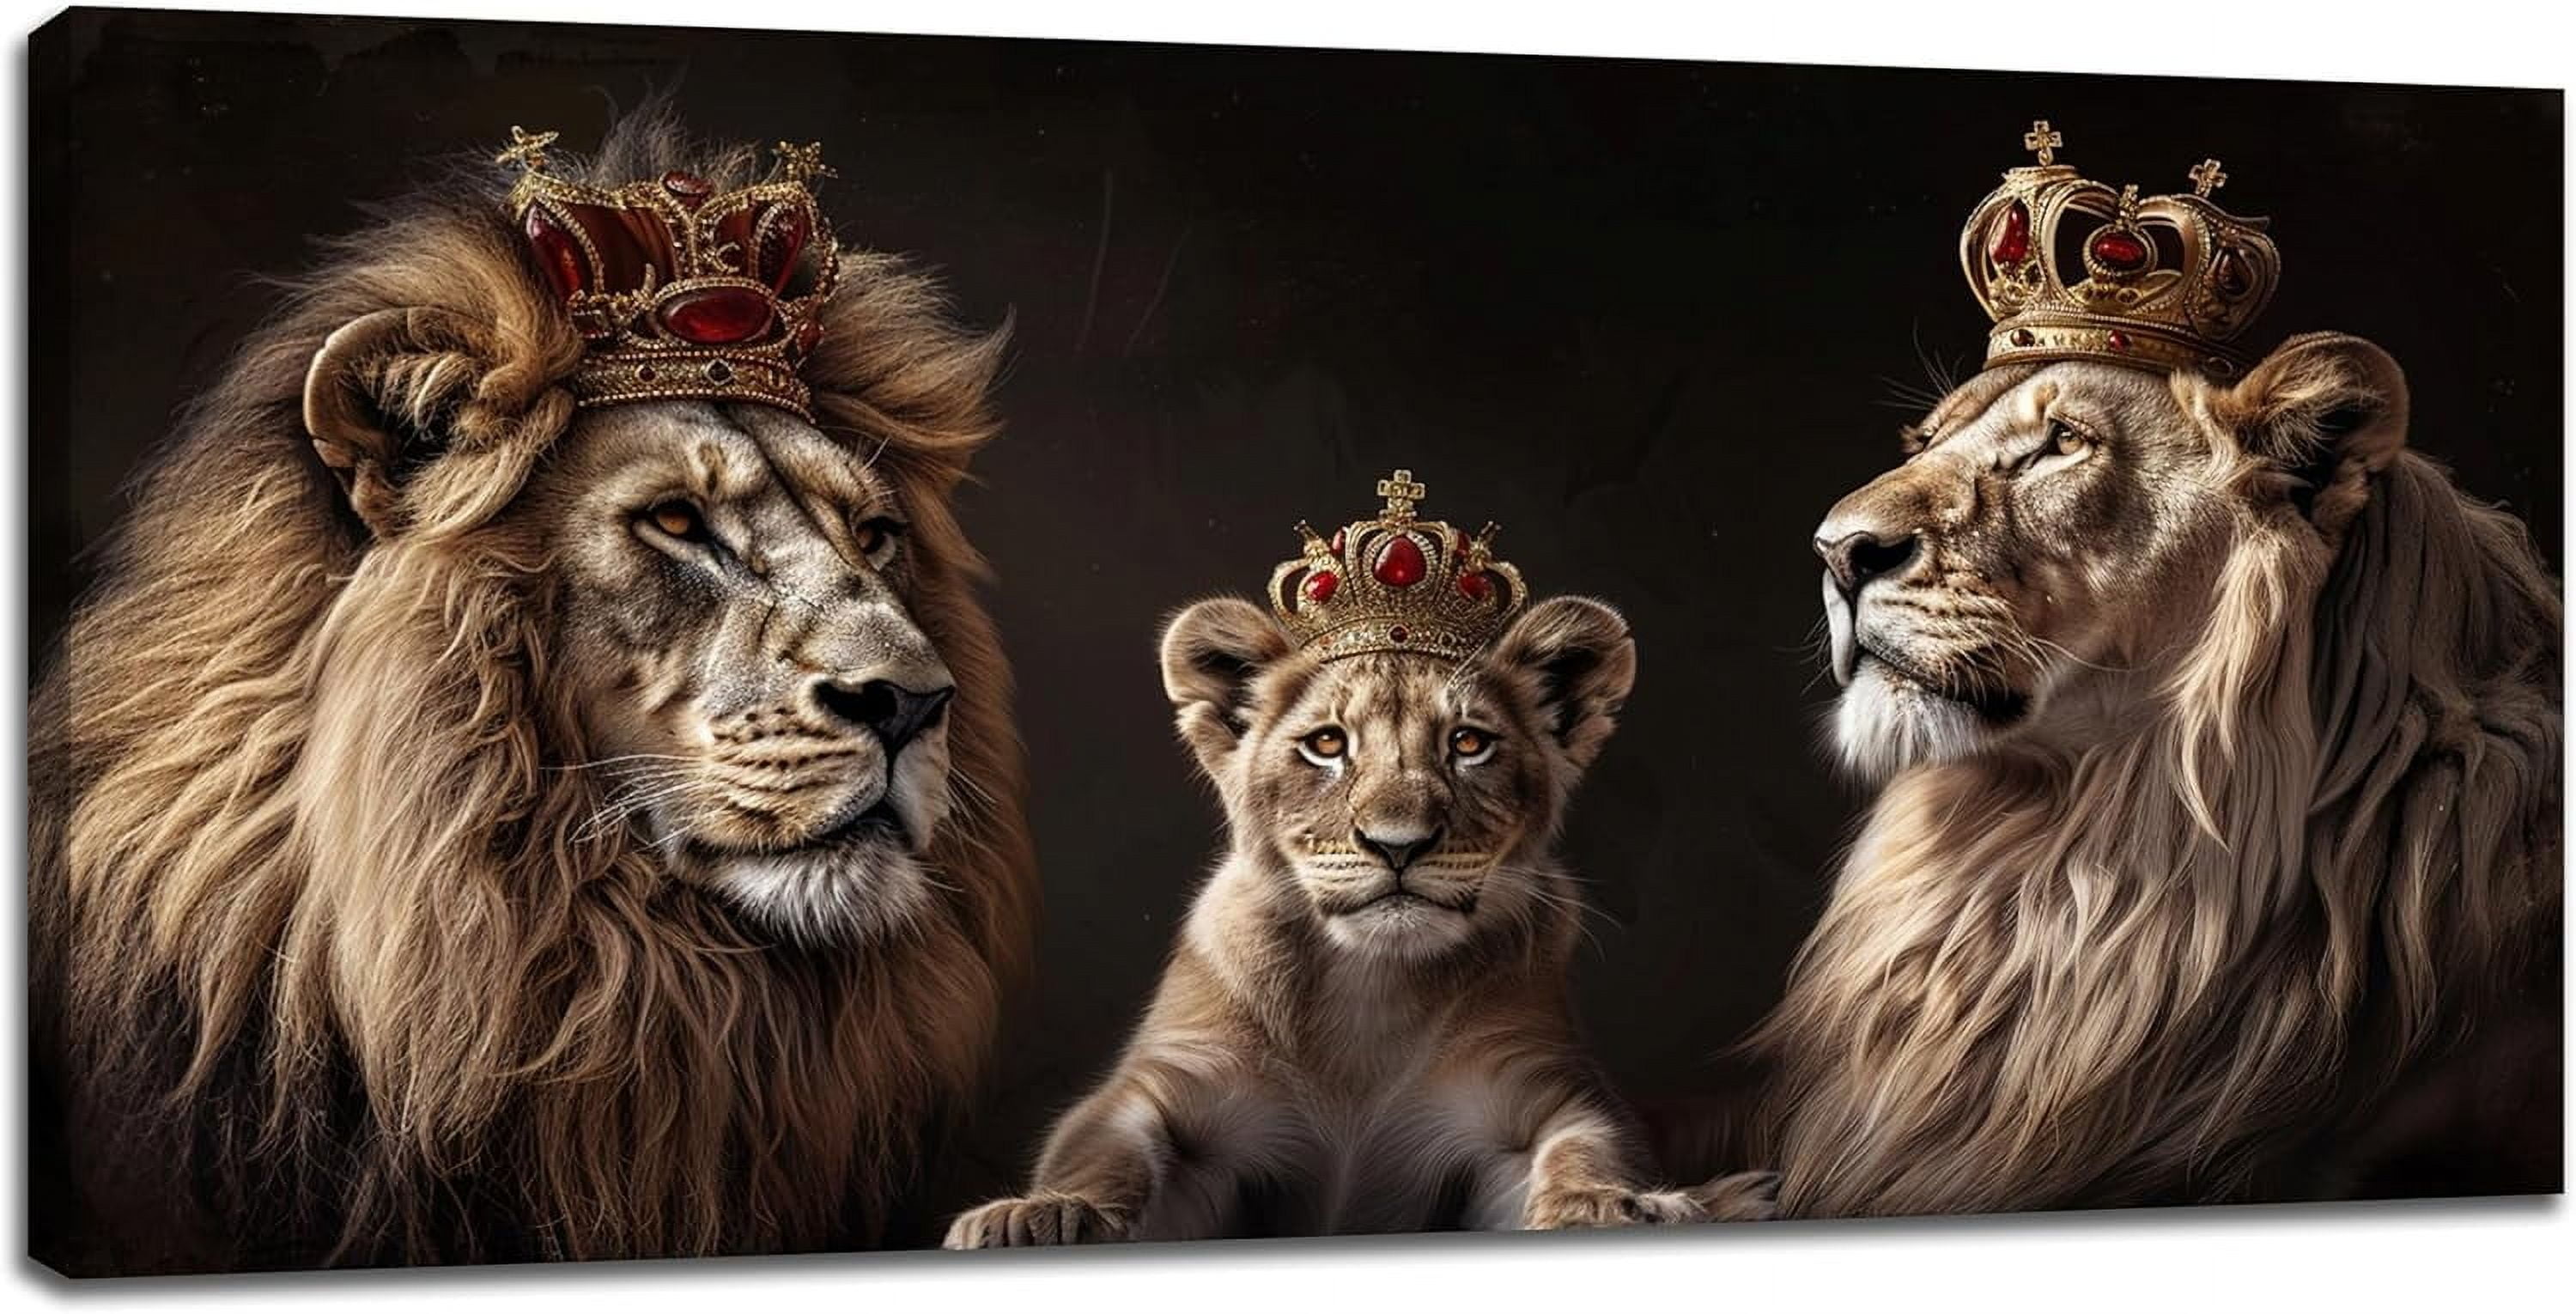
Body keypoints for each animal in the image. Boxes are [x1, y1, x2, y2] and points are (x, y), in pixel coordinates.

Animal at [945, 586, 1773, 1245]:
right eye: (1326, 744)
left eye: (1468, 742)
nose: (1397, 844)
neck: (1371, 991)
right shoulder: (1179, 1102)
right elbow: (1104, 1151)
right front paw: (1041, 1214)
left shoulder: (1522, 1105)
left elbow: (1585, 1147)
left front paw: (1609, 1204)